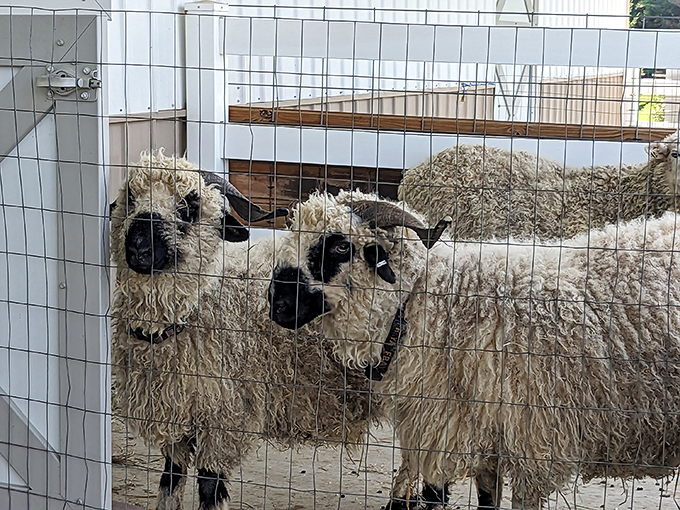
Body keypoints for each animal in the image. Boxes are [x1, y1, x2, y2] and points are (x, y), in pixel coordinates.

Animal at [110, 154, 391, 510]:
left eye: (189, 206)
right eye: (130, 198)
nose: (138, 250)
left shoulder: (225, 418)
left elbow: (209, 486)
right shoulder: (178, 412)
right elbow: (170, 478)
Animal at [269, 189, 680, 509]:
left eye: (340, 246)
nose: (277, 304)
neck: (435, 304)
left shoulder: (534, 445)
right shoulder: (480, 435)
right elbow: (485, 500)